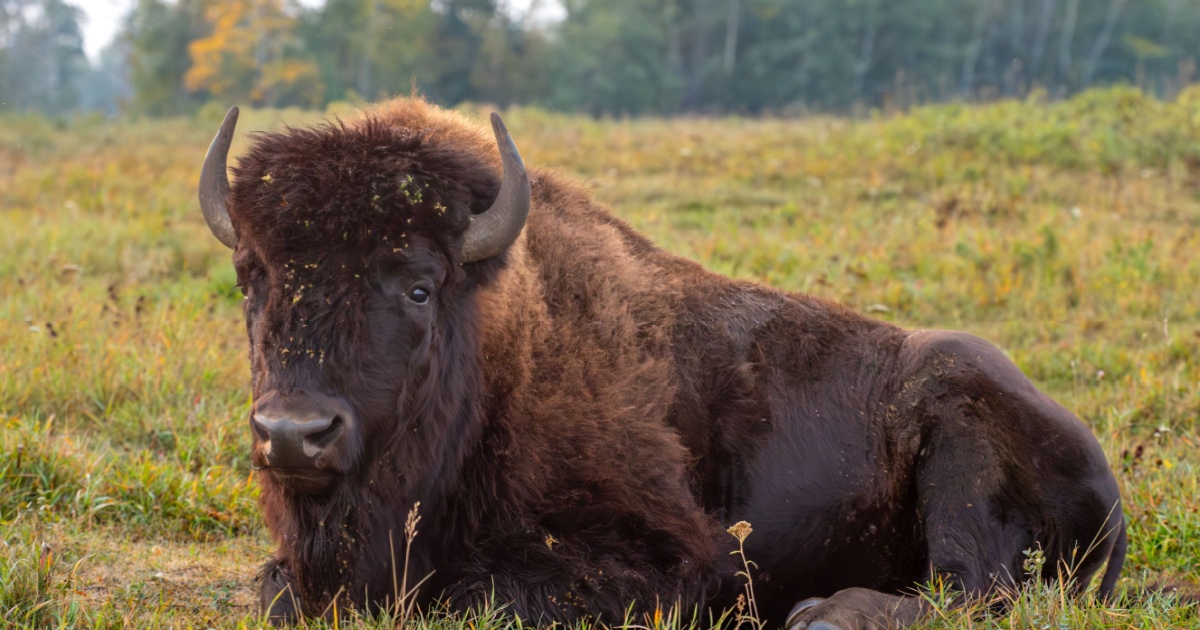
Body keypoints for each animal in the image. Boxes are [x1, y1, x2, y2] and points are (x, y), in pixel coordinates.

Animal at [197, 99, 1125, 629]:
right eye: (251, 275)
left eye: (420, 286)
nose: (294, 433)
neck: (503, 348)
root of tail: (1105, 476)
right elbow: (275, 589)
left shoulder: (674, 562)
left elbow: (483, 593)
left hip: (956, 426)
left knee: (972, 588)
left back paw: (825, 615)